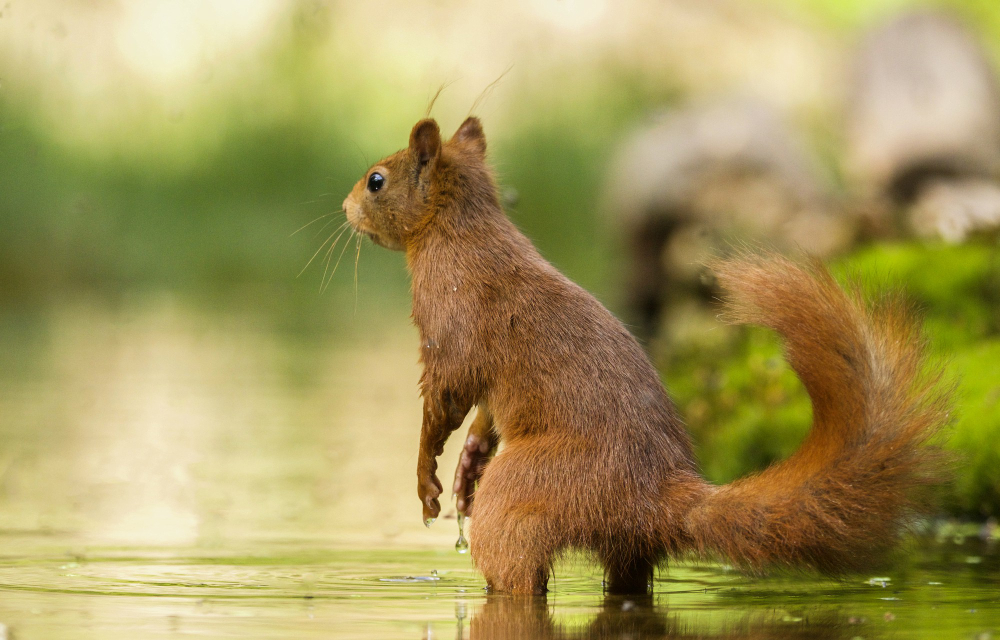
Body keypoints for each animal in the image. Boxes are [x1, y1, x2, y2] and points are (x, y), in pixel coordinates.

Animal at [341, 116, 950, 595]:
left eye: (377, 180)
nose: (345, 207)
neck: (460, 233)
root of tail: (655, 499)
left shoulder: (451, 329)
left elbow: (442, 403)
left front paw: (428, 481)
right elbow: (483, 415)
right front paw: (467, 465)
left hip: (525, 493)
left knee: (520, 577)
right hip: (623, 545)